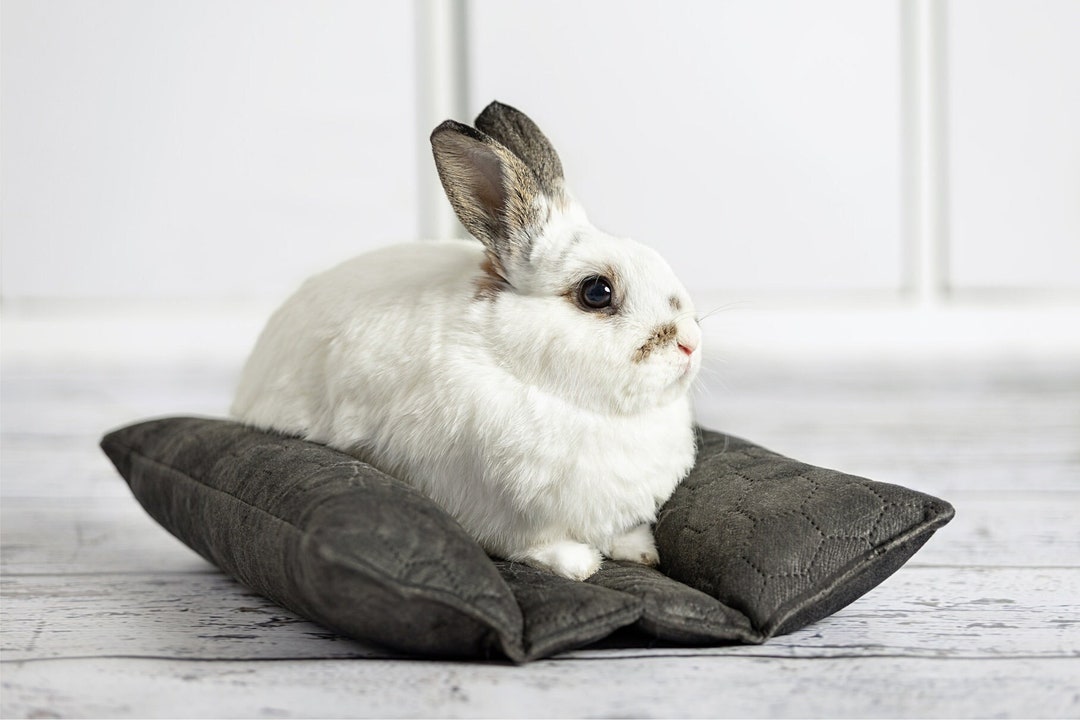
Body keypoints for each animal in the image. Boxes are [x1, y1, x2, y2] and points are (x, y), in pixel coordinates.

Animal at [232, 101, 702, 581]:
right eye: (597, 292)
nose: (691, 342)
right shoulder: (499, 515)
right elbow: (534, 545)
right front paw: (578, 566)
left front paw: (640, 551)